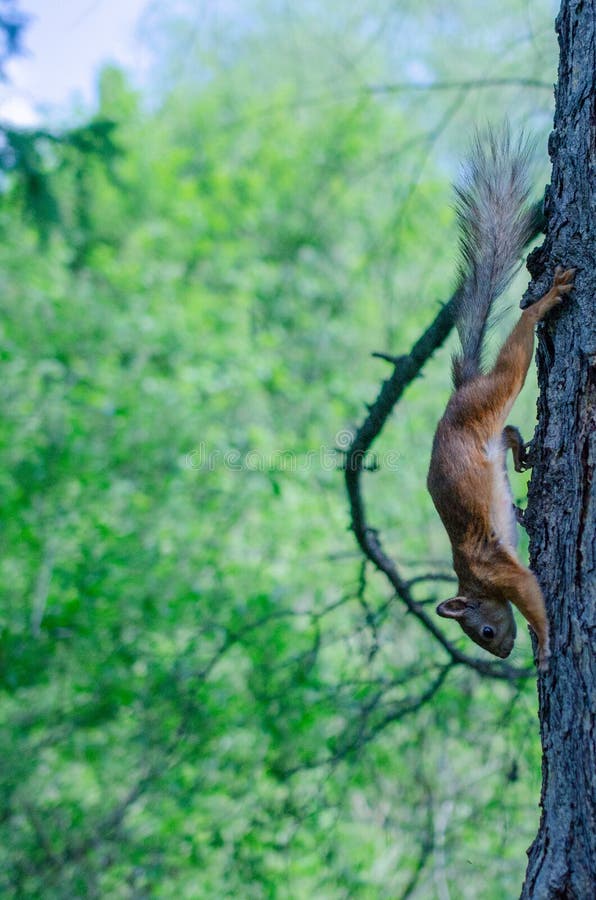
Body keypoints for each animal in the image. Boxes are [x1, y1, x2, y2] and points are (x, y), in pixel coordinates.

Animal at [426, 127, 575, 671]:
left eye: (486, 631)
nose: (506, 650)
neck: (473, 580)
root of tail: (461, 393)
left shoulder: (499, 570)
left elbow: (531, 594)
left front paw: (546, 643)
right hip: (488, 419)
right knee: (506, 430)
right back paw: (523, 453)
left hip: (492, 393)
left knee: (517, 350)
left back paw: (546, 301)